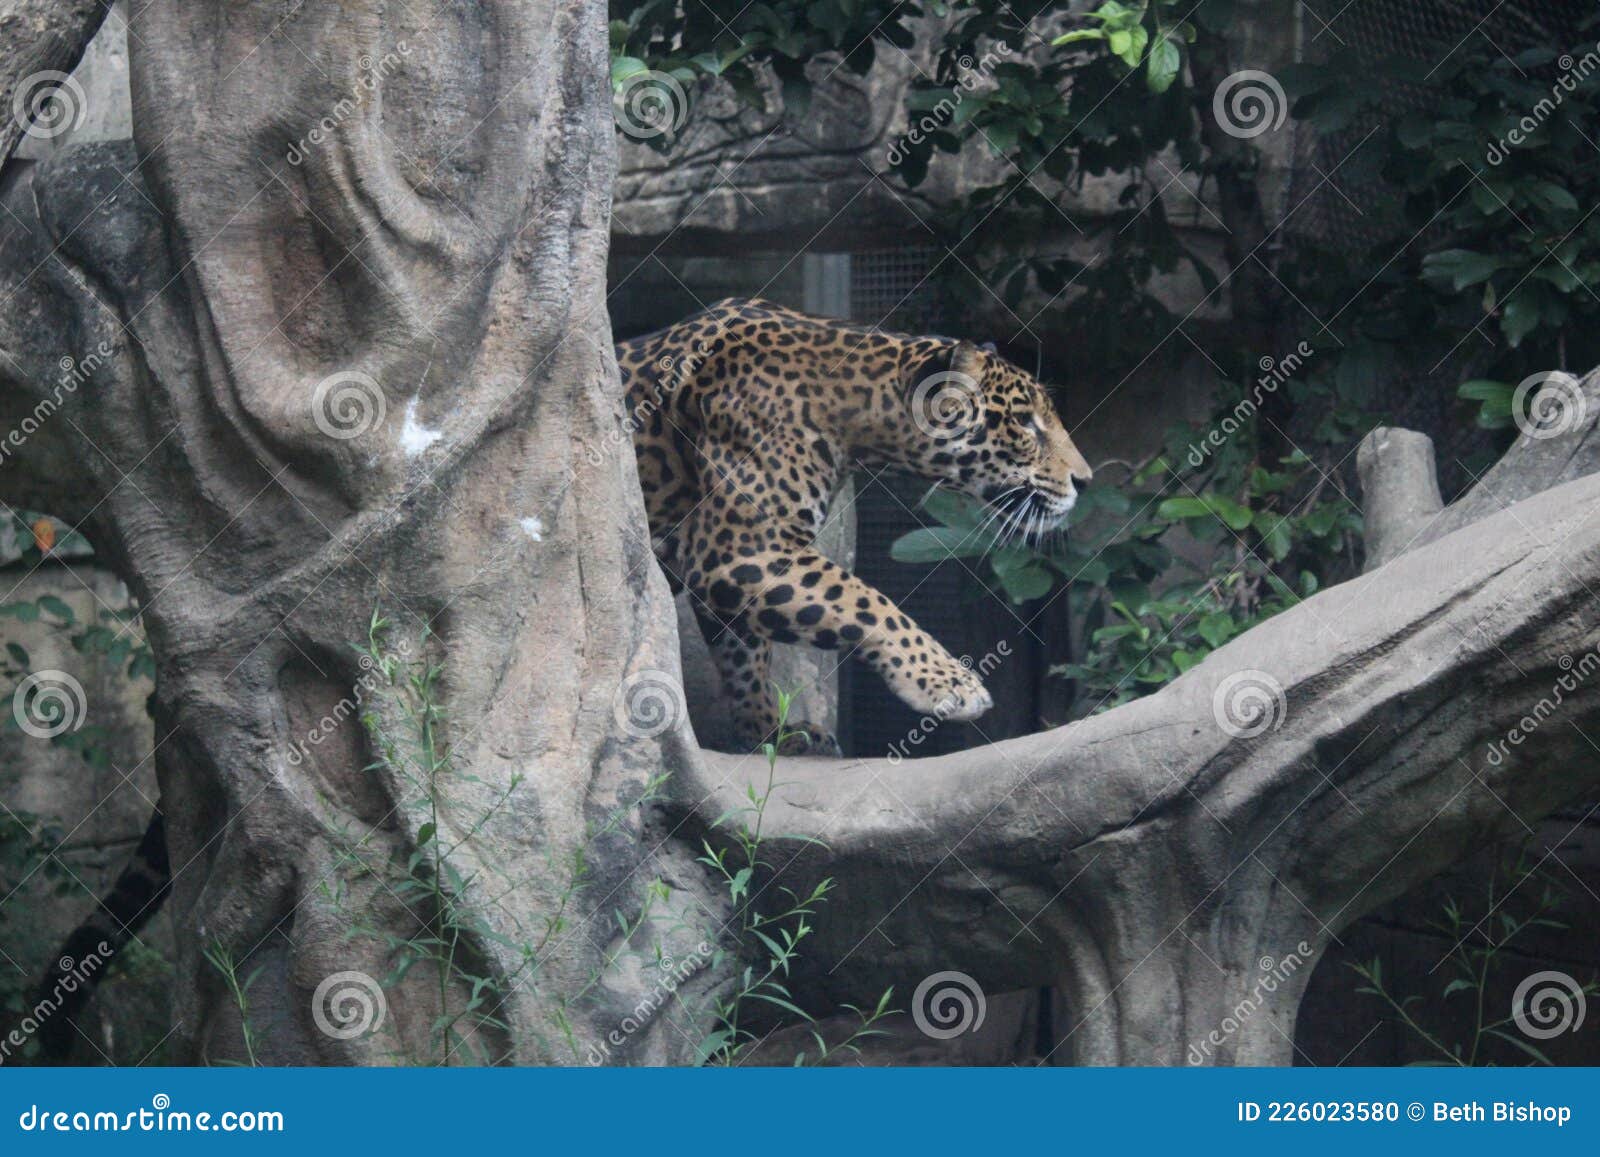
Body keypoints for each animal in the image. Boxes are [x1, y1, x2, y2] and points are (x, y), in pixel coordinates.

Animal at [614, 297, 1095, 756]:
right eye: (1025, 423)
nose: (1085, 480)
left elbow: (746, 657)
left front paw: (771, 733)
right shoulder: (743, 550)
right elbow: (864, 600)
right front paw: (948, 682)